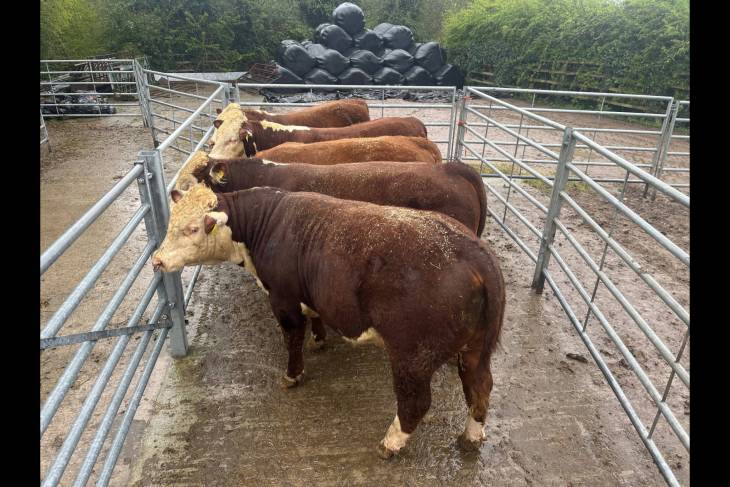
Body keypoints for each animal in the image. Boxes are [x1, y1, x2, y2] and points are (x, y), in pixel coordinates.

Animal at [151, 184, 505, 459]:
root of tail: (473, 251)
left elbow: (293, 337)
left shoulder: (283, 299)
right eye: (171, 223)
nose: (157, 260)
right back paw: (471, 437)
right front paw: (319, 340)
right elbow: (315, 319)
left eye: (193, 228)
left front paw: (292, 375)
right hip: (476, 349)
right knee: (480, 387)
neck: (267, 223)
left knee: (416, 402)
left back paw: (390, 443)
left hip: (413, 356)